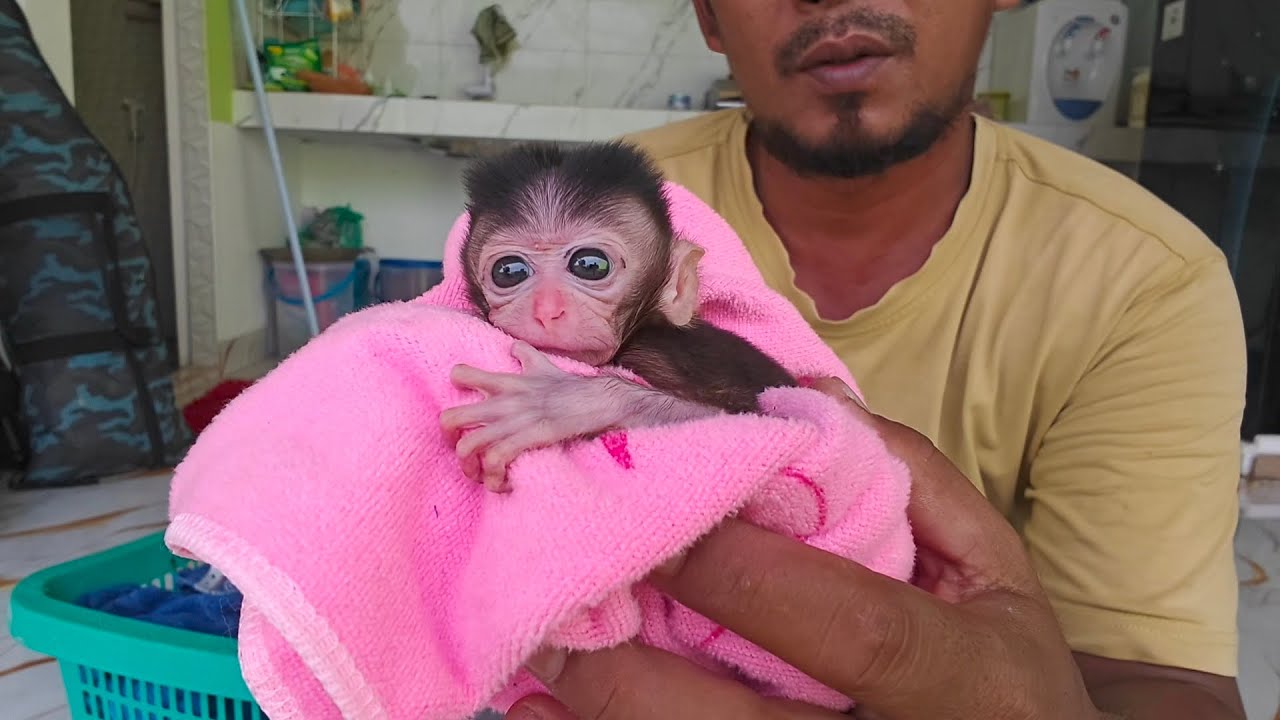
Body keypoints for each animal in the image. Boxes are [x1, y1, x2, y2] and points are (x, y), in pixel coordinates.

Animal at [439, 140, 798, 491]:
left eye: (590, 265)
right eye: (509, 271)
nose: (547, 310)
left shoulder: (666, 354)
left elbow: (762, 421)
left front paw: (559, 402)